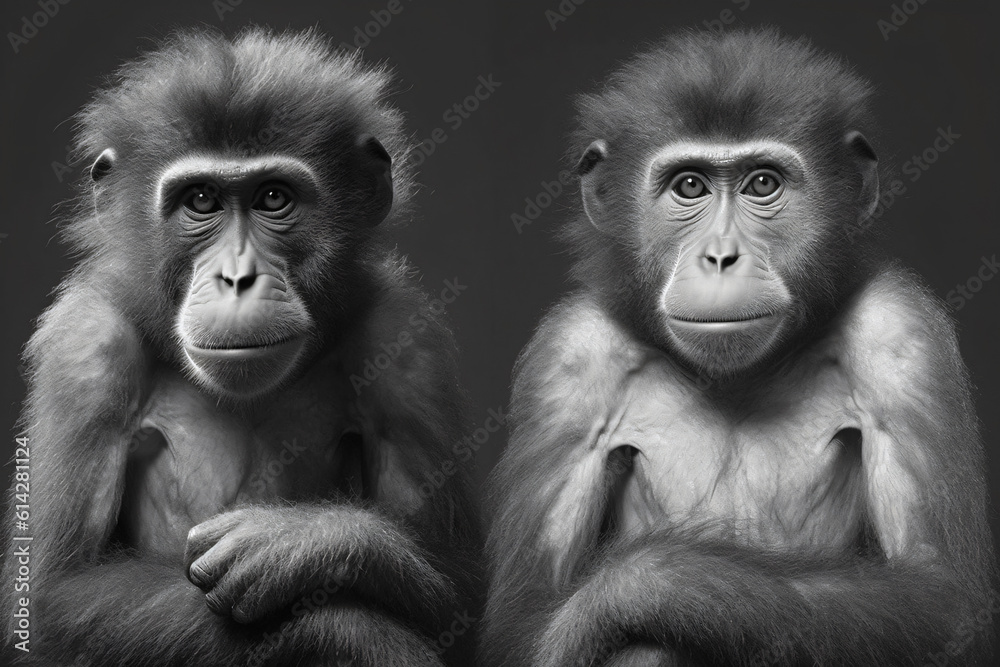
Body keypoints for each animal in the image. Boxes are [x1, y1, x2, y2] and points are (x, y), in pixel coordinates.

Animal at [2, 28, 479, 667]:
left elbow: (461, 594)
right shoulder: (85, 351)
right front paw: (359, 635)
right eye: (201, 200)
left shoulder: (407, 342)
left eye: (273, 197)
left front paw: (299, 544)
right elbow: (52, 596)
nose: (237, 276)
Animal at [483, 29, 997, 667]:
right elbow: (523, 618)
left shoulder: (903, 336)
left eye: (762, 184)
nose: (722, 255)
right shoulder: (567, 361)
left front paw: (621, 589)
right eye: (689, 186)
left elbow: (943, 595)